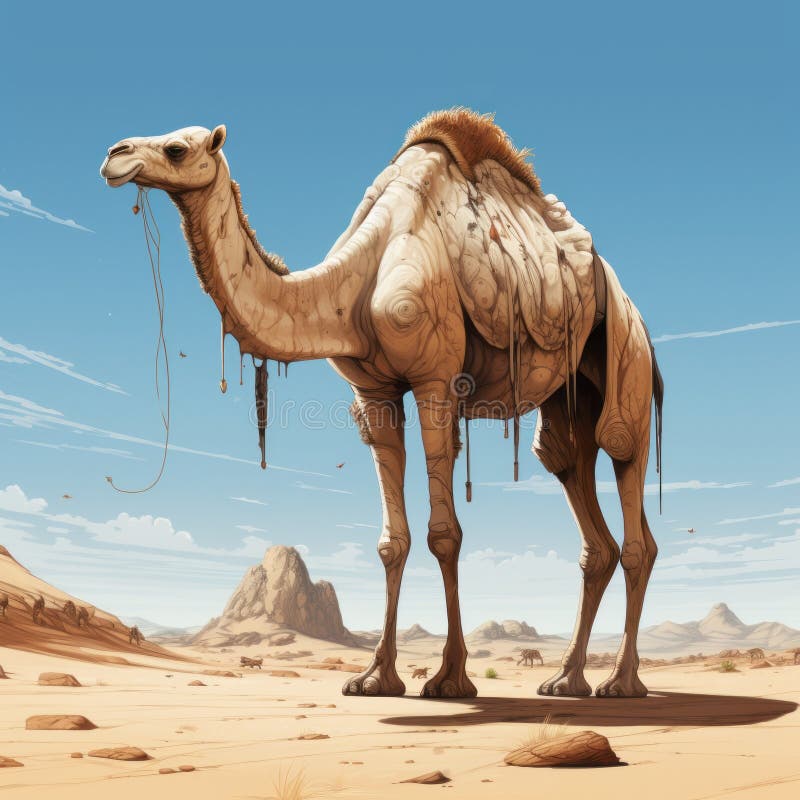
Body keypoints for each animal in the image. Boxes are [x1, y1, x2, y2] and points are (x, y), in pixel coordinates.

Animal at [100, 109, 663, 700]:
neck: (355, 280)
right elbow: (392, 541)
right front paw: (374, 677)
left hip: (626, 354)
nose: (115, 155)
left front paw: (450, 679)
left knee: (628, 487)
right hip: (567, 396)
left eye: (178, 149)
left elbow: (444, 534)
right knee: (575, 485)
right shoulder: (373, 395)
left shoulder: (435, 380)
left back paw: (622, 683)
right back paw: (566, 680)